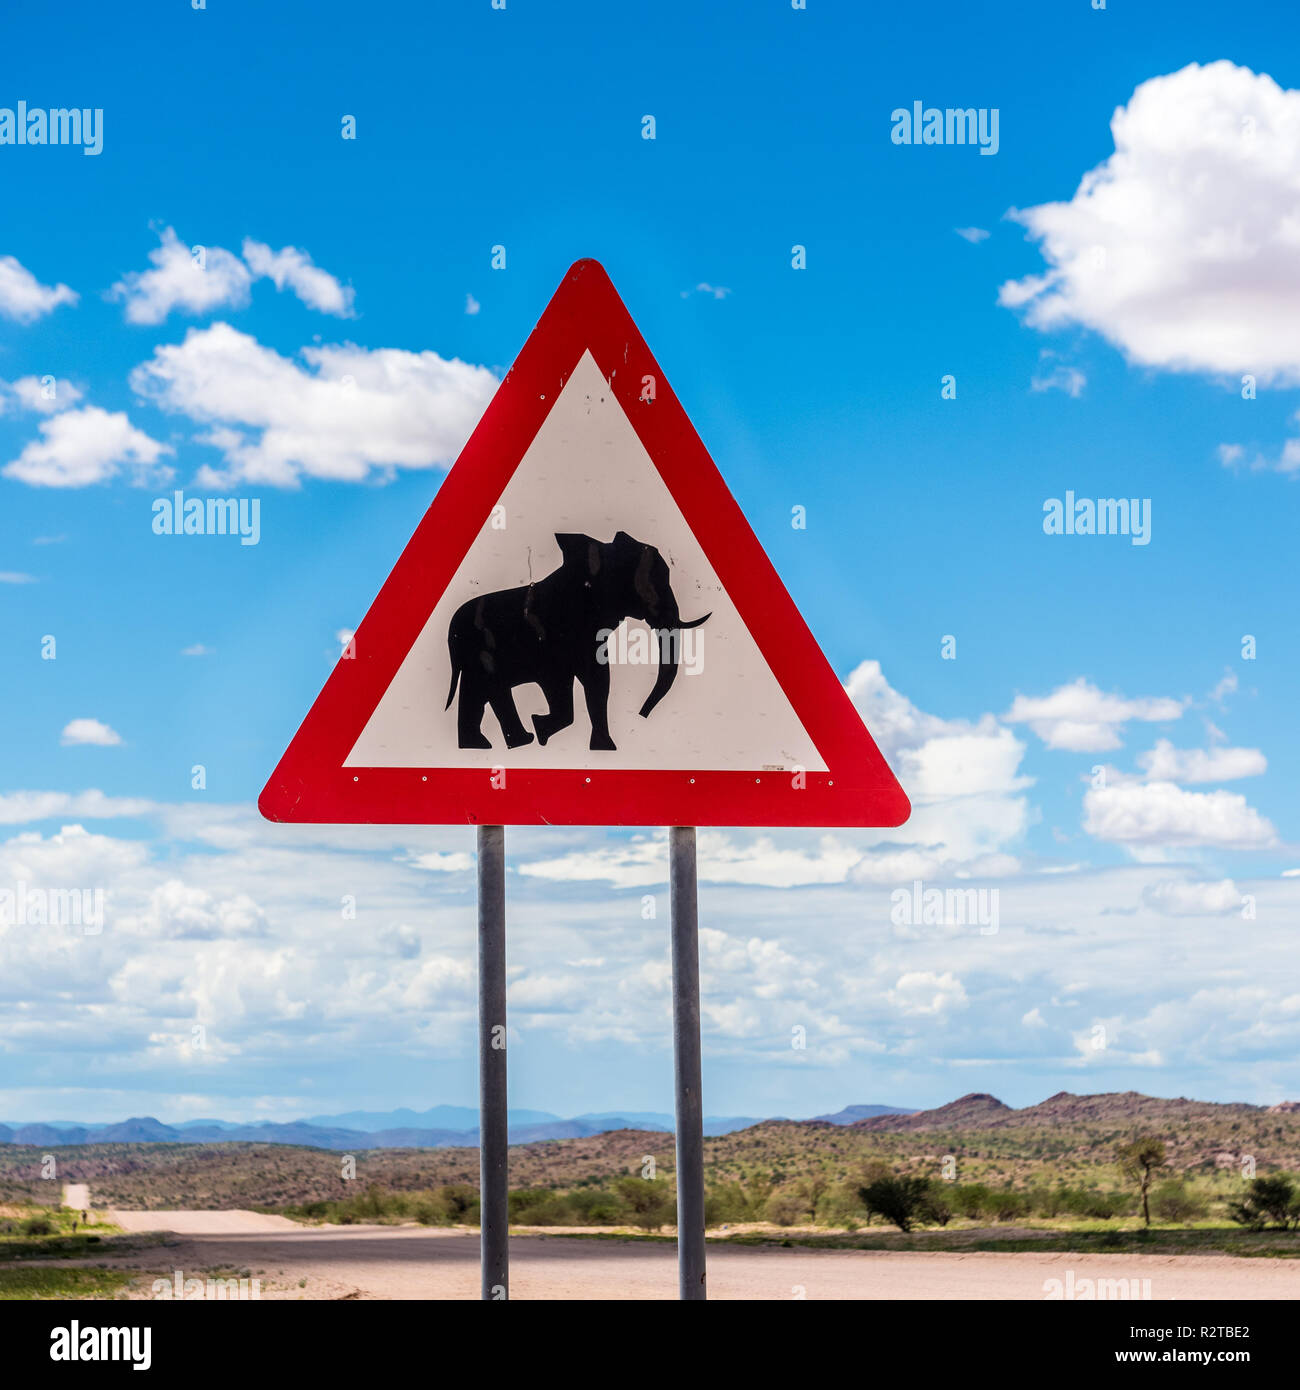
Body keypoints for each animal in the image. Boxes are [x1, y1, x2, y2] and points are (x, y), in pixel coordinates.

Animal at [444, 530, 711, 751]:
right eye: (653, 583)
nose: (641, 714)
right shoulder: (555, 641)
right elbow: (563, 684)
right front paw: (541, 729)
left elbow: (599, 680)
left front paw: (603, 749)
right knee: (487, 690)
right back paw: (511, 742)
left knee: (480, 692)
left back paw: (488, 744)